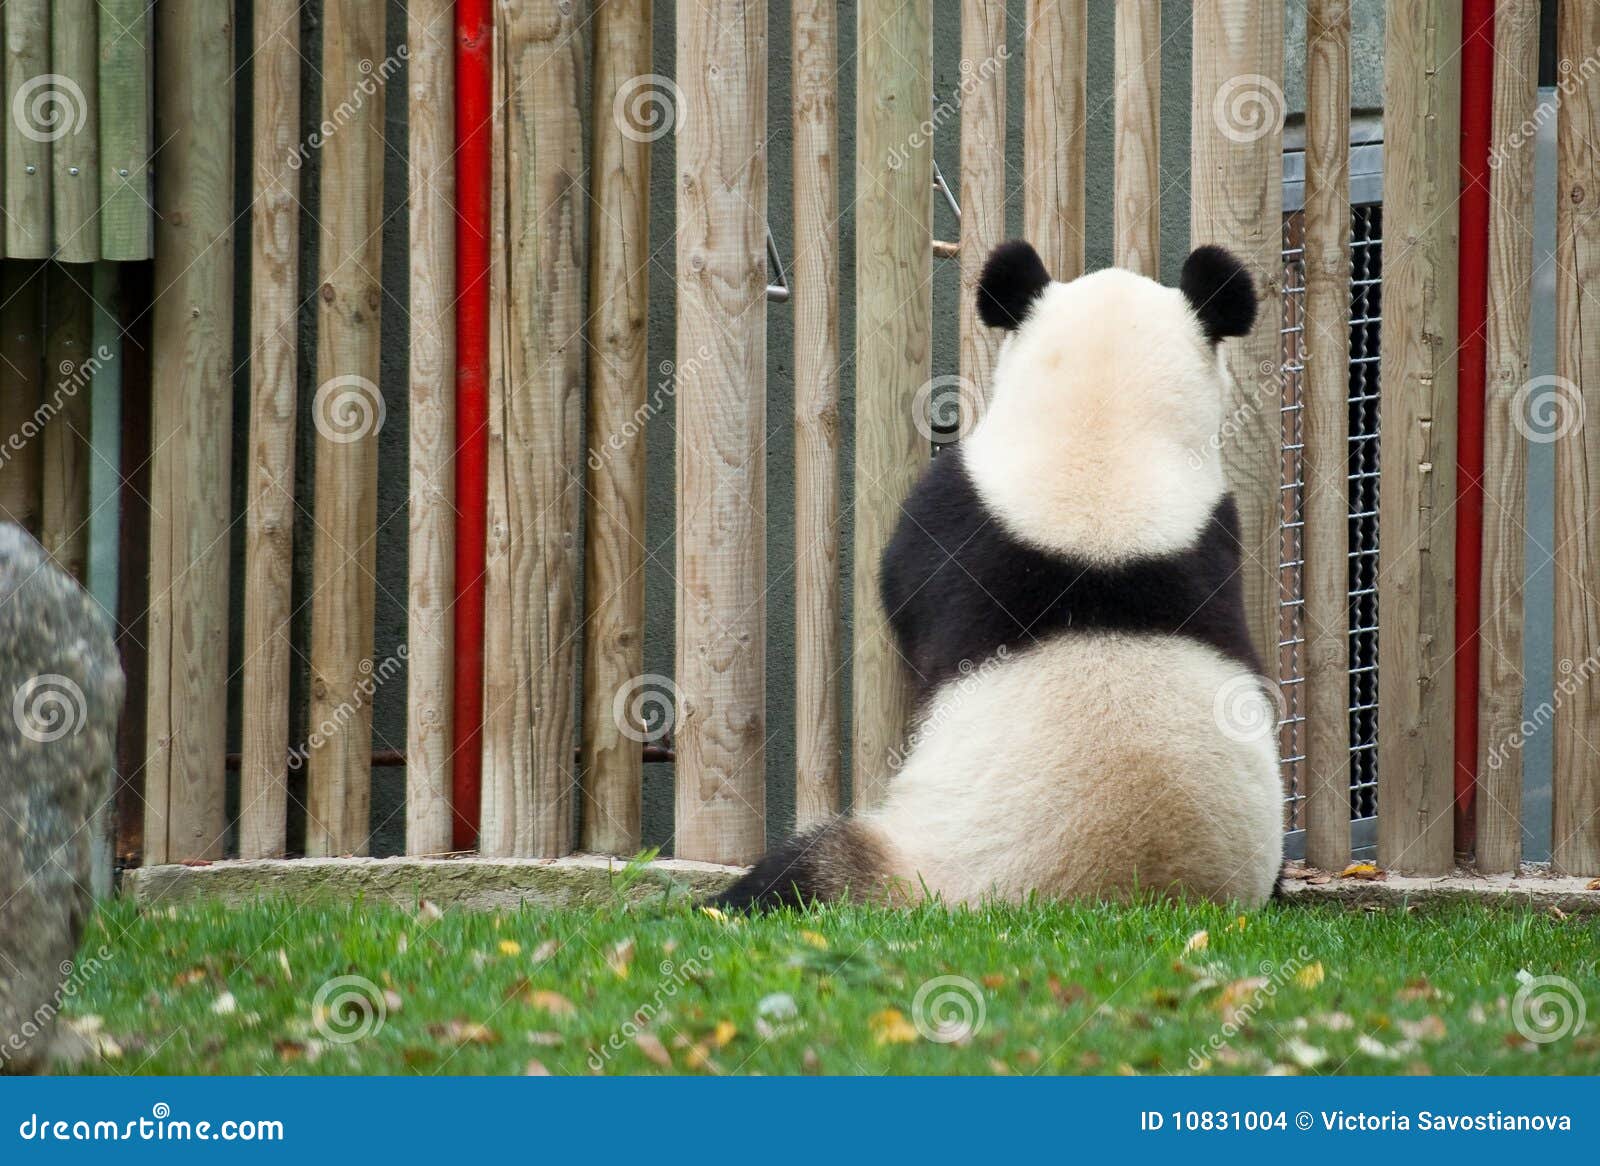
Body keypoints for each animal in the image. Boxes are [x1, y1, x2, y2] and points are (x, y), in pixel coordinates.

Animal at [714, 240, 1283, 911]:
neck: (1103, 443)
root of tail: (1139, 896)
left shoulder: (957, 512)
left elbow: (901, 579)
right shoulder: (1214, 533)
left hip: (916, 866)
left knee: (804, 876)